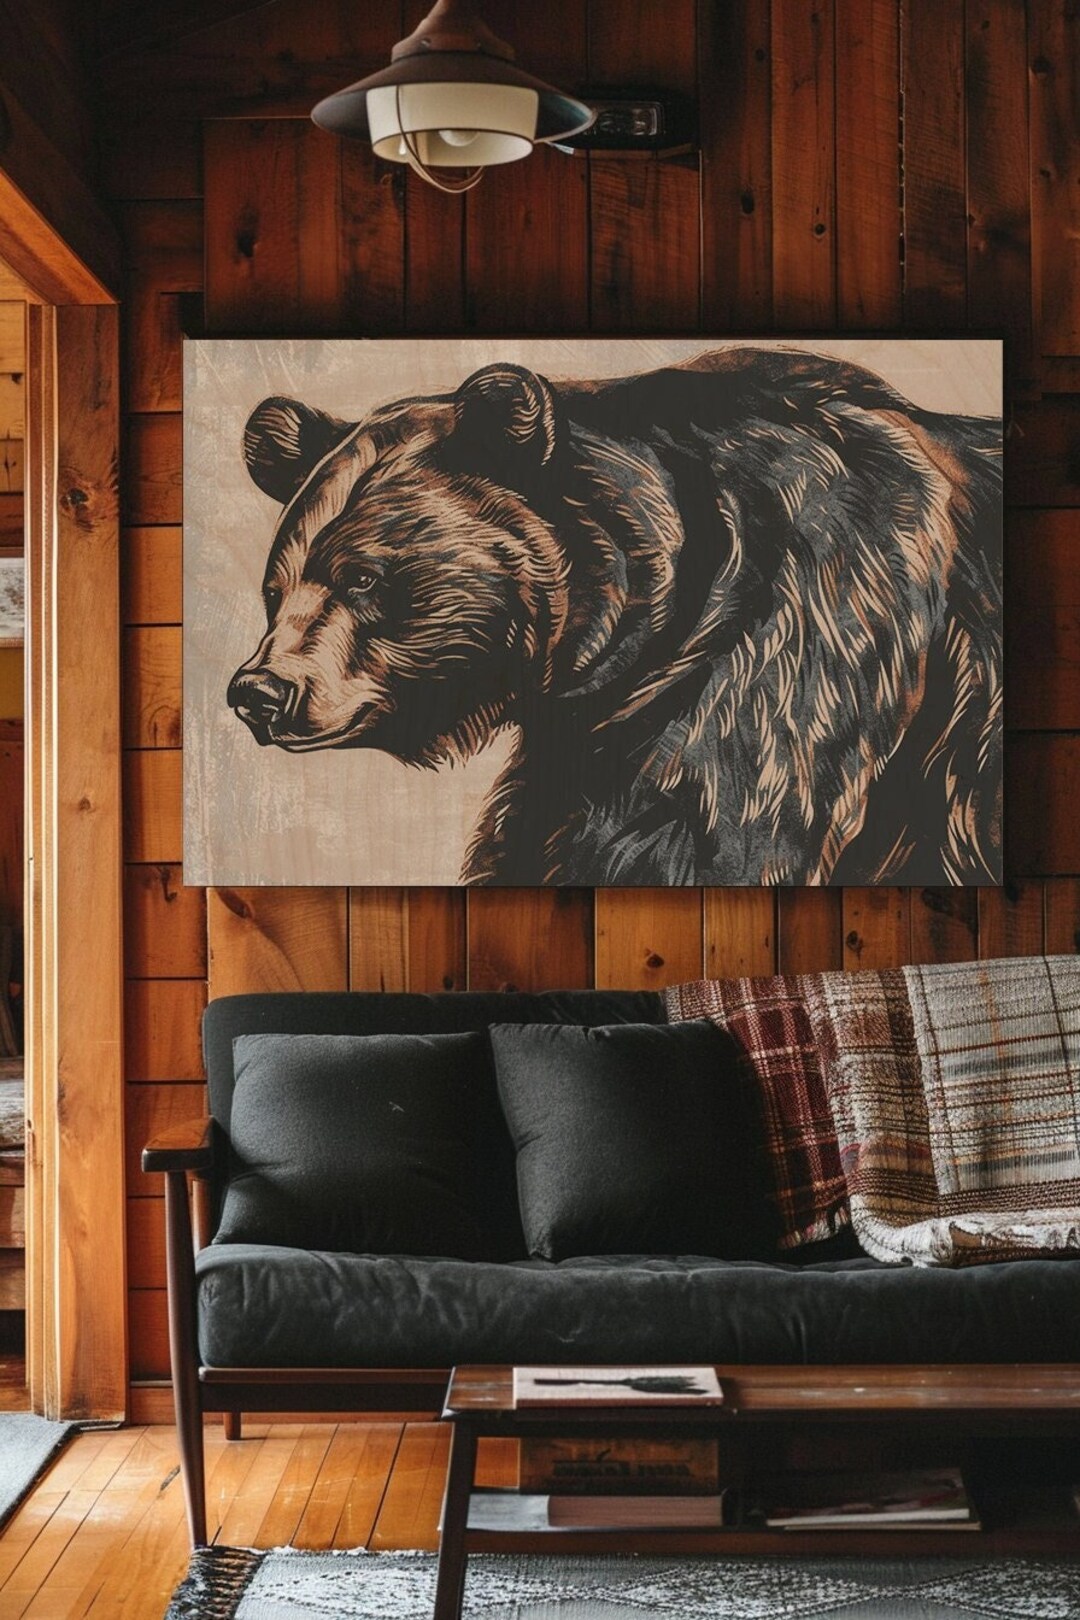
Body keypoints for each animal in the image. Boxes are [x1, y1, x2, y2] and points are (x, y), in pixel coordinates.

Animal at [227, 346, 1002, 886]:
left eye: (361, 576)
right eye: (275, 588)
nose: (259, 690)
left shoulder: (796, 661)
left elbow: (703, 839)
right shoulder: (584, 737)